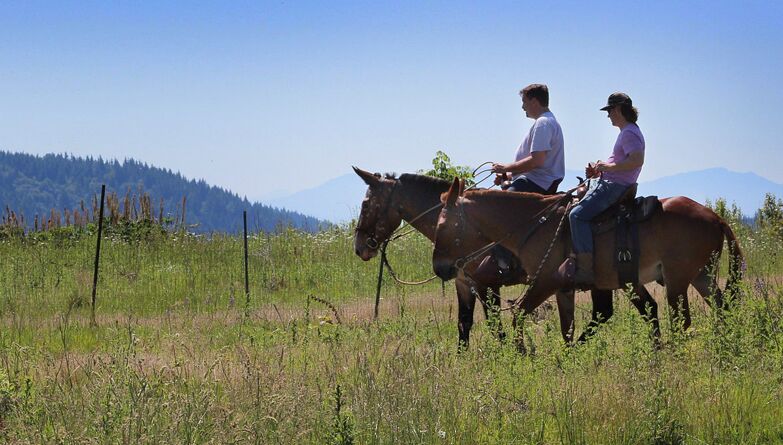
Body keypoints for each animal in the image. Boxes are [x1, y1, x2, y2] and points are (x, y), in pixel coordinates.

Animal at [354, 166, 621, 348]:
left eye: (366, 204)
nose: (359, 247)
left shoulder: (486, 285)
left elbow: (495, 327)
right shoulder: (463, 283)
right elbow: (464, 323)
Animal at [433, 178, 743, 352]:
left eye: (443, 225)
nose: (439, 268)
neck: (537, 224)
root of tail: (715, 217)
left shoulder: (545, 281)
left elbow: (519, 314)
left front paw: (522, 354)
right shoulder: (563, 289)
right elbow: (566, 327)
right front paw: (567, 358)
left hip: (678, 280)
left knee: (682, 321)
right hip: (701, 276)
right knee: (721, 308)